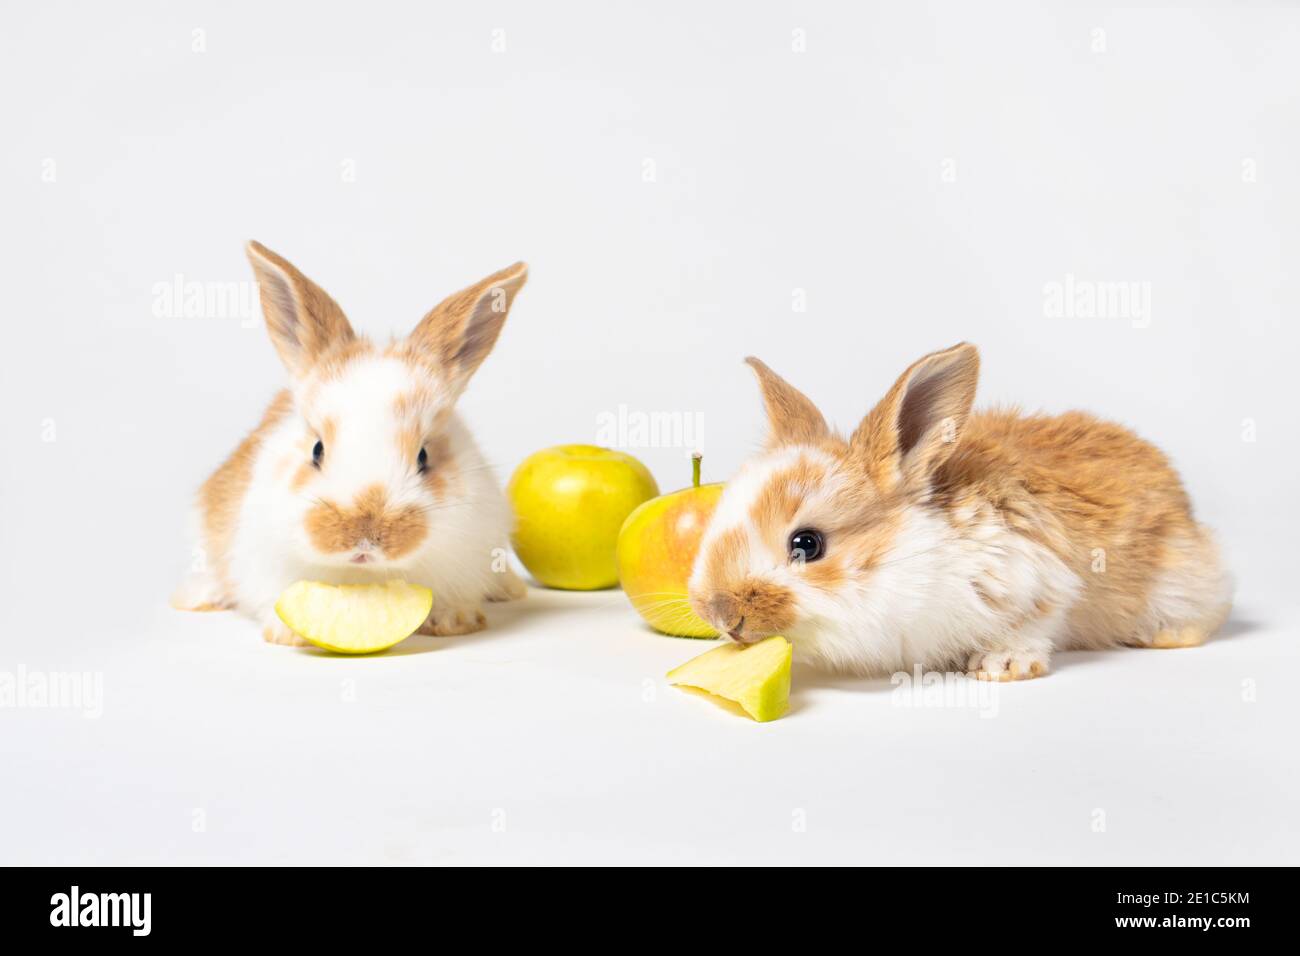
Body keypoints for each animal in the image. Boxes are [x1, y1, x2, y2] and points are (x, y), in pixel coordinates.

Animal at [688, 343, 1233, 679]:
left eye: (807, 544)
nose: (720, 613)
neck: (910, 550)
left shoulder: (1038, 576)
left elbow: (1038, 622)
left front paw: (1002, 667)